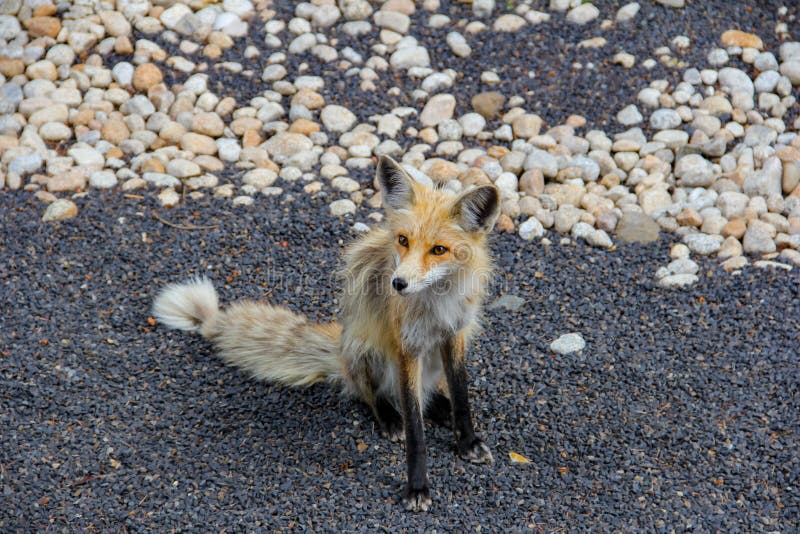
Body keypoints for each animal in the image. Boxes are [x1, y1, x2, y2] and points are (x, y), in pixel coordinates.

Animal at [152, 156, 500, 511]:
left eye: (439, 250)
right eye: (403, 240)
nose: (398, 284)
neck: (437, 305)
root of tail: (341, 347)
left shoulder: (454, 335)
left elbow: (461, 396)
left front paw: (467, 441)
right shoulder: (406, 346)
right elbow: (415, 430)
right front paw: (417, 487)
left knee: (424, 394)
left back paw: (439, 408)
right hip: (366, 353)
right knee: (376, 395)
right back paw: (390, 418)